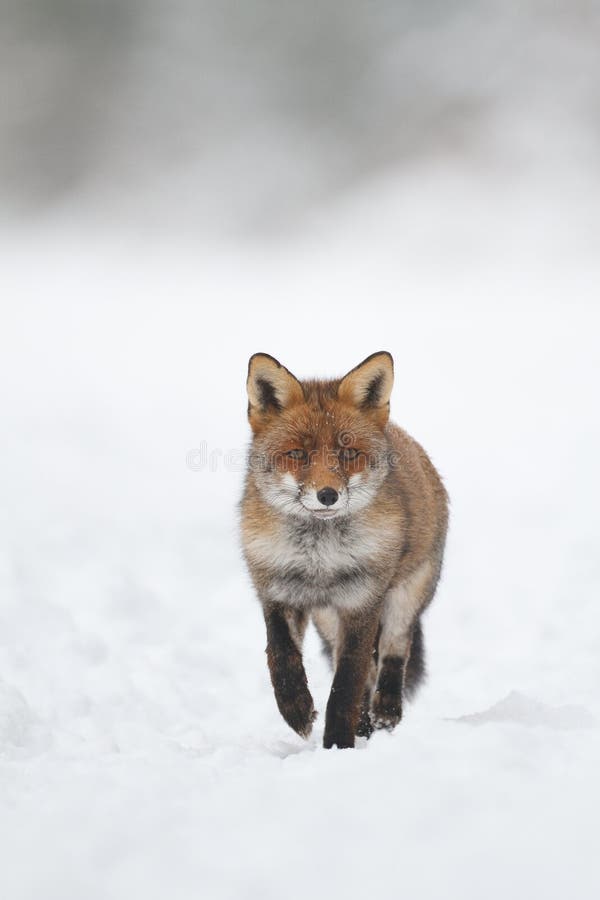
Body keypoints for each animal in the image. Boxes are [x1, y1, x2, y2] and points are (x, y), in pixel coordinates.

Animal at [240, 351, 448, 749]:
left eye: (349, 453)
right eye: (297, 454)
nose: (327, 495)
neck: (319, 559)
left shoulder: (362, 600)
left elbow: (347, 684)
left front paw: (338, 743)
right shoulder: (275, 589)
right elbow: (280, 655)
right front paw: (296, 708)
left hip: (405, 595)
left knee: (395, 651)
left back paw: (384, 712)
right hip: (327, 619)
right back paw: (365, 724)